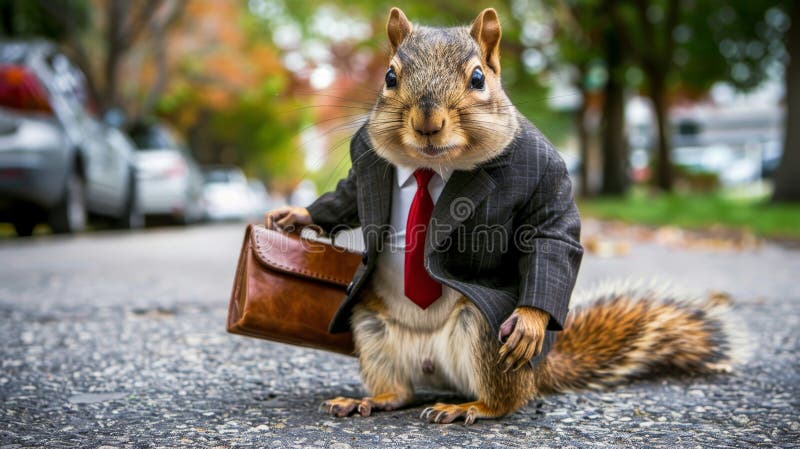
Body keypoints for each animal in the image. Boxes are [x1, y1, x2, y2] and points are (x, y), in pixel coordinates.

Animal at [265, 8, 736, 425]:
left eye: (478, 79)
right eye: (390, 77)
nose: (427, 122)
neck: (431, 165)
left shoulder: (546, 171)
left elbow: (551, 234)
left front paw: (531, 317)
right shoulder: (365, 162)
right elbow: (347, 195)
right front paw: (295, 215)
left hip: (485, 332)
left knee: (505, 399)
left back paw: (470, 406)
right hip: (371, 327)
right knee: (399, 391)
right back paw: (370, 399)